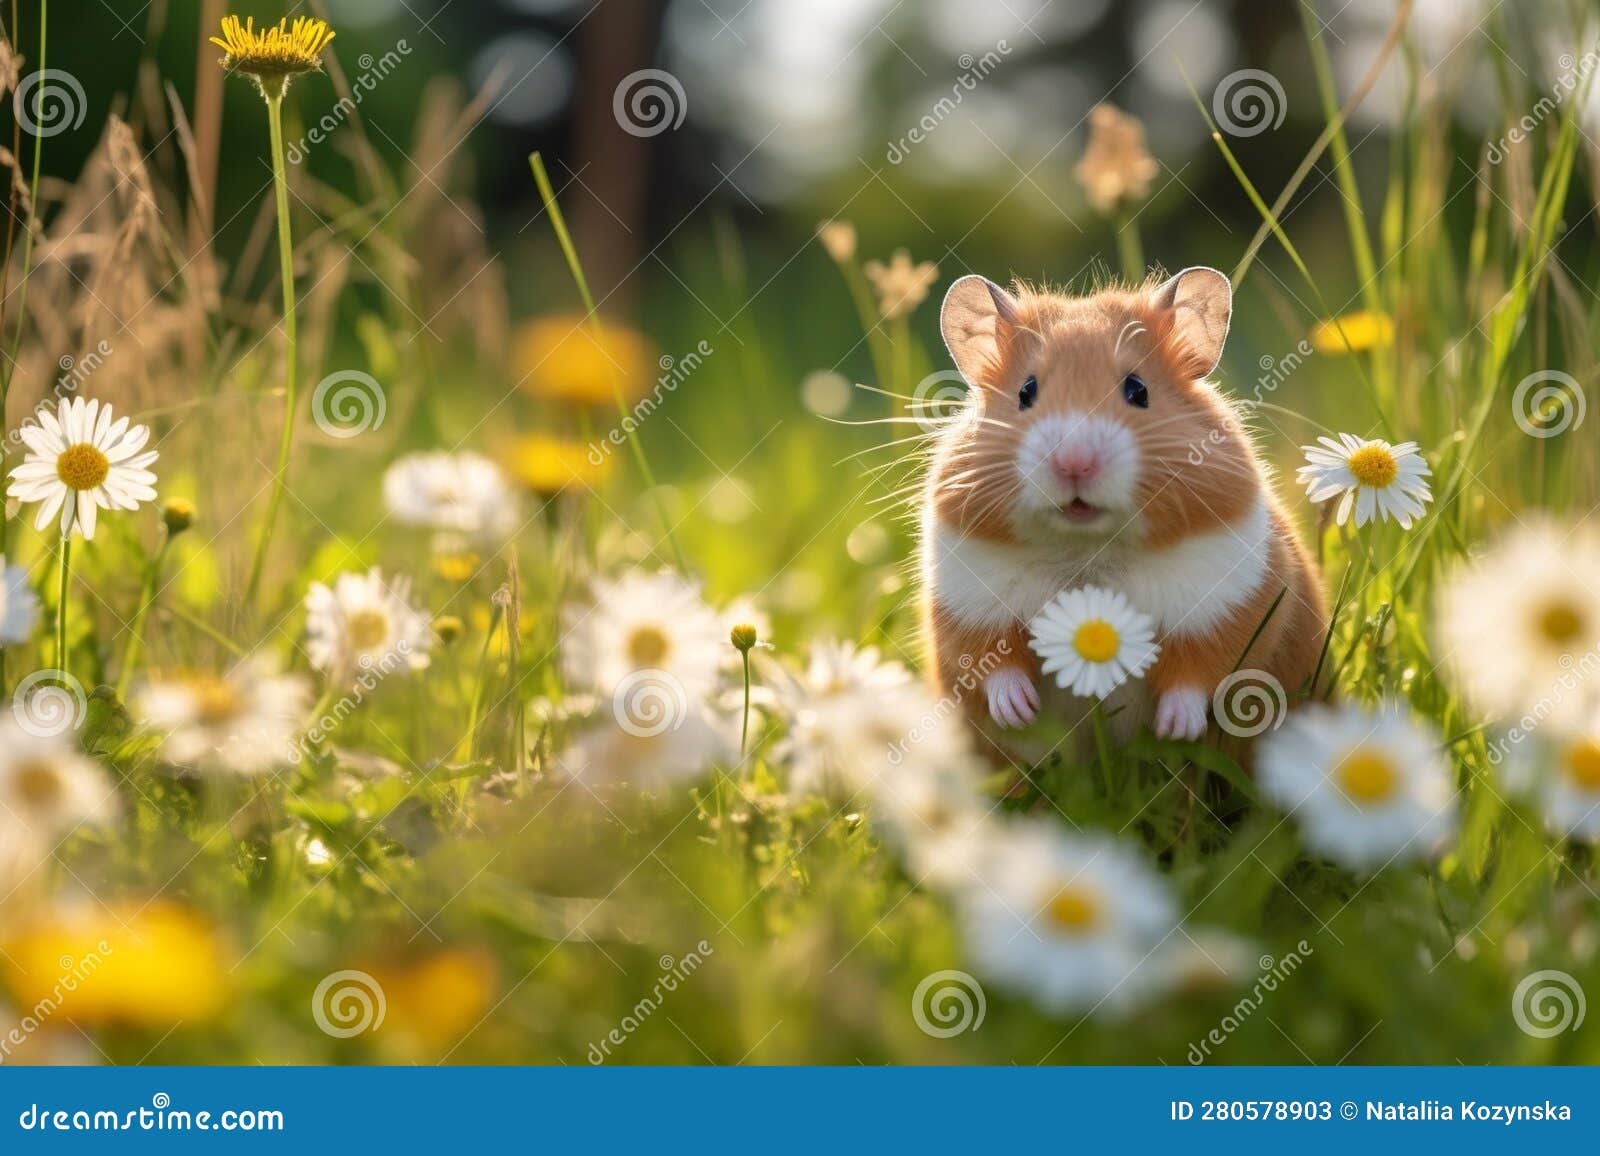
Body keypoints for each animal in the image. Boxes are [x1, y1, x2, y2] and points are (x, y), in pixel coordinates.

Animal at [919, 268, 1326, 743]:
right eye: (1025, 392)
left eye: (1138, 390)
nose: (1074, 463)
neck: (1088, 546)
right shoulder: (967, 603)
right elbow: (992, 664)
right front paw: (1019, 713)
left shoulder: (1230, 603)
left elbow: (1198, 674)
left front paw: (1174, 730)